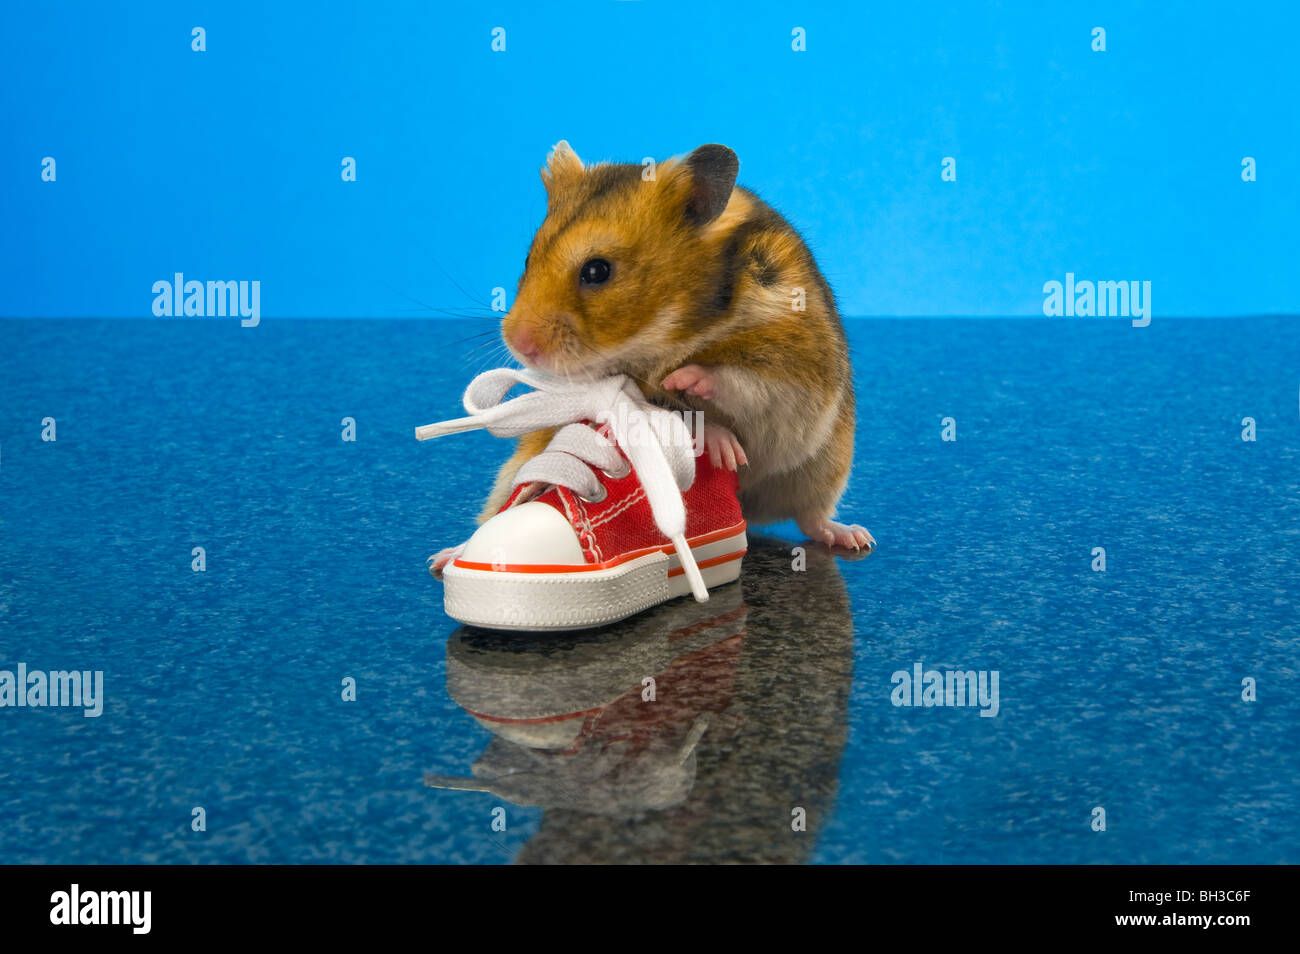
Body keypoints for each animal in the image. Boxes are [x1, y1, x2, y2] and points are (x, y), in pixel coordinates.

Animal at [480, 141, 871, 552]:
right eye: (528, 259)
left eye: (597, 271)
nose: (518, 344)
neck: (673, 330)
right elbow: (672, 407)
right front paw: (724, 447)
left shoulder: (797, 367)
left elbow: (740, 379)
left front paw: (685, 381)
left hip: (823, 469)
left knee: (811, 517)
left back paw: (855, 537)